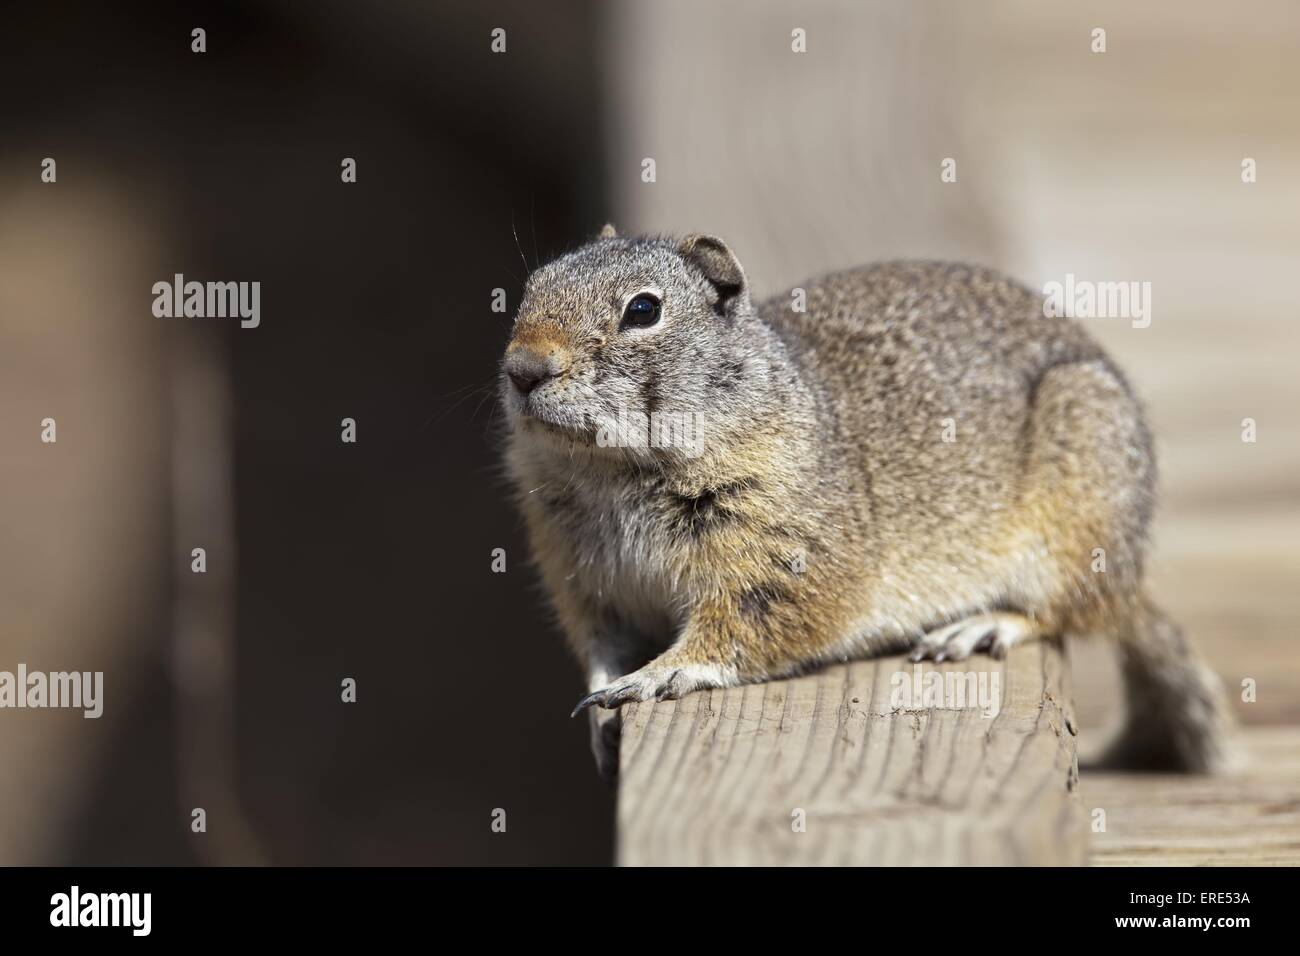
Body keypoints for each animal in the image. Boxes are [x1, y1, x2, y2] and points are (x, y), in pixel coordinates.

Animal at [500, 224, 1231, 780]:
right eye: (530, 289)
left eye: (643, 310)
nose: (522, 369)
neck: (612, 472)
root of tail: (1132, 575)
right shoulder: (585, 581)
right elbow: (602, 644)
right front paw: (602, 707)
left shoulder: (784, 563)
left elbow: (739, 631)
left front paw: (661, 675)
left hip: (1078, 521)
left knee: (1066, 611)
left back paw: (980, 626)